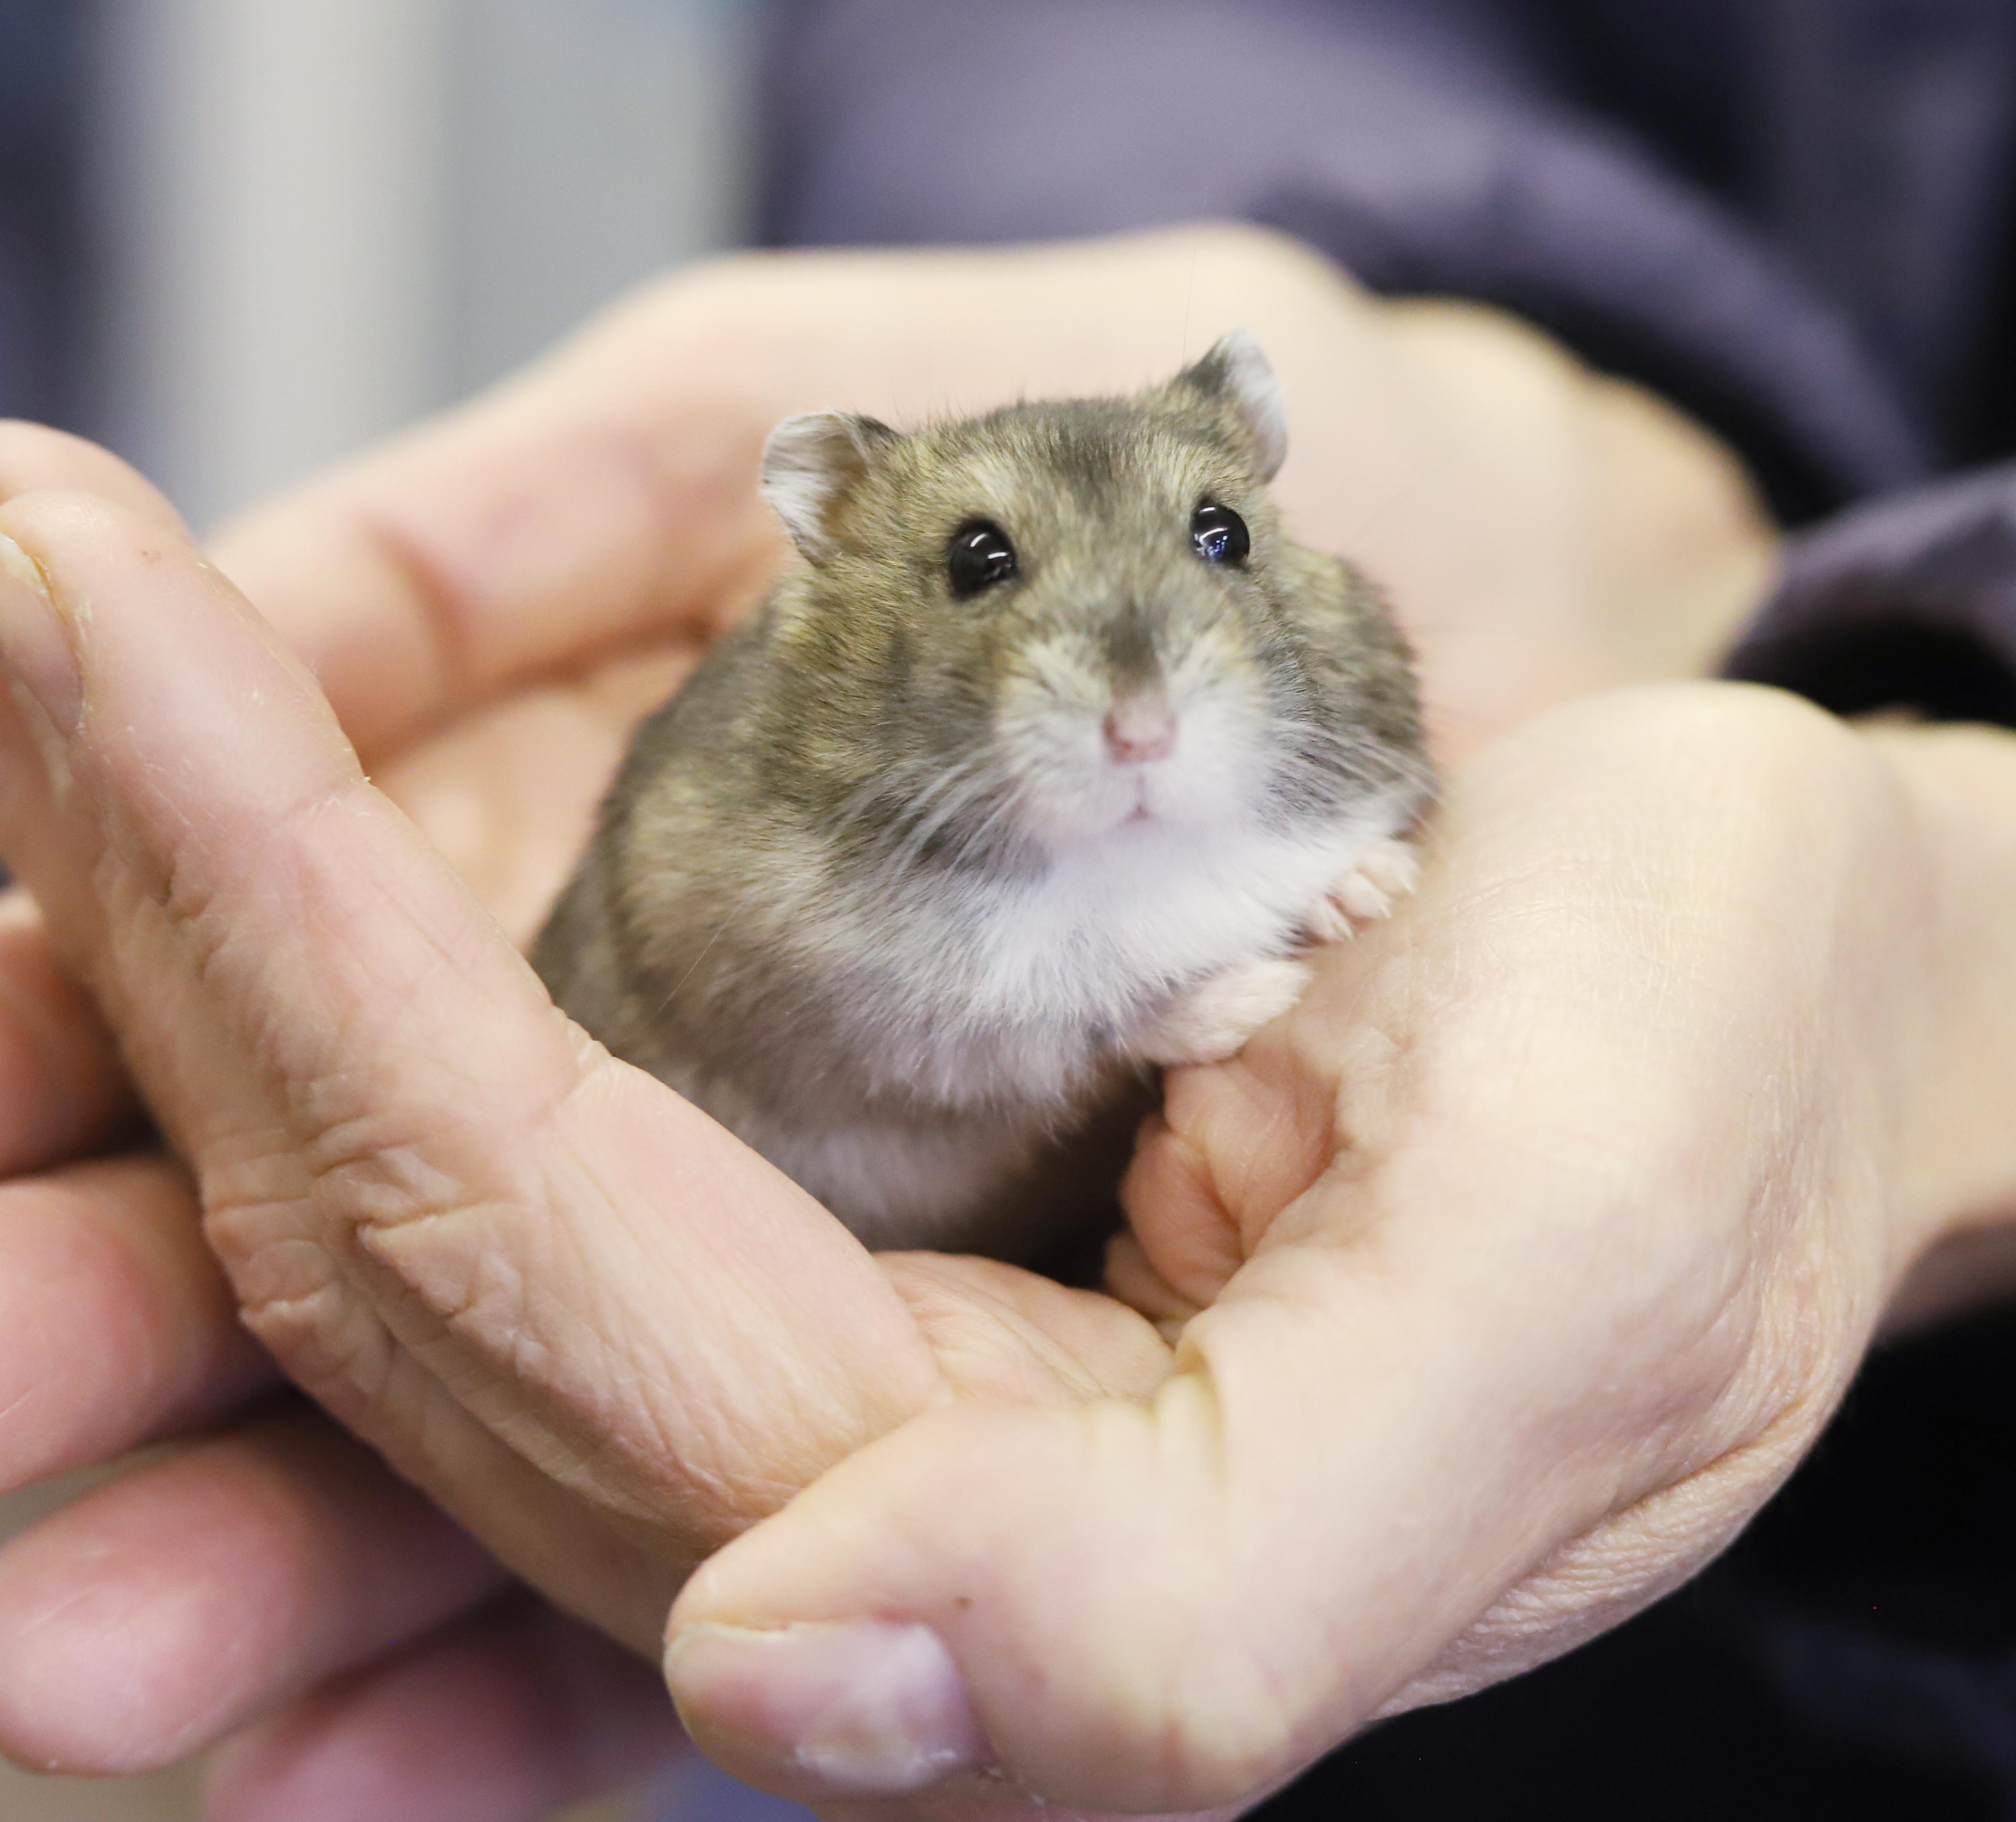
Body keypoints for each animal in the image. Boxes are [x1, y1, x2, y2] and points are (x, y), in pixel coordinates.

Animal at [533, 333, 1432, 1262]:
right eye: (976, 559)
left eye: (1226, 534)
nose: (1143, 733)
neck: (1130, 851)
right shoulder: (864, 1020)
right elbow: (1084, 1024)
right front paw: (1261, 995)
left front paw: (1374, 886)